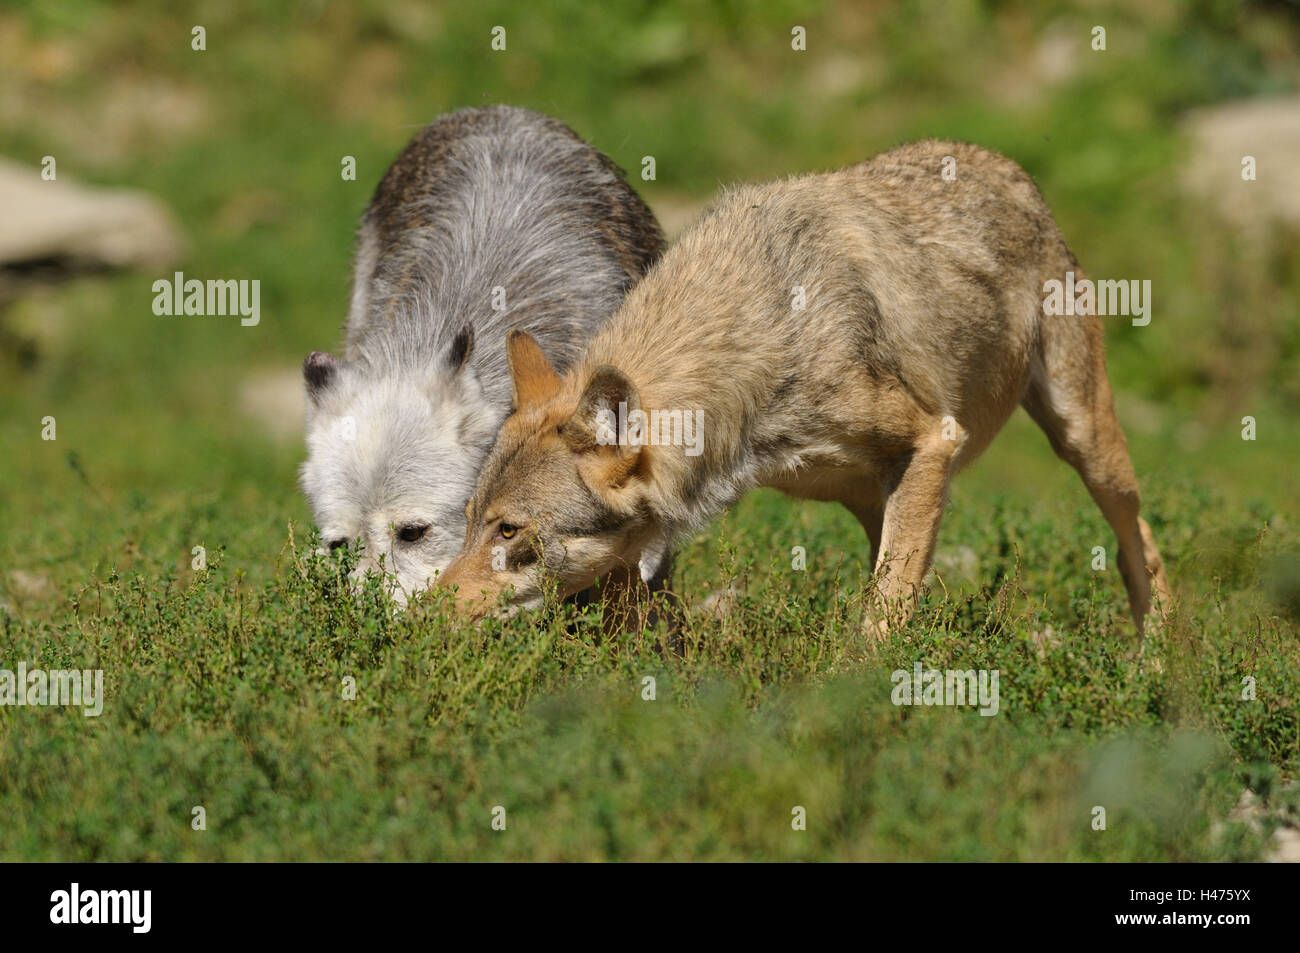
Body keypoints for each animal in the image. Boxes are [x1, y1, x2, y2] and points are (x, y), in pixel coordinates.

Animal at [438, 139, 1174, 637]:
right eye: (469, 521)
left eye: (509, 530)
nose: (424, 611)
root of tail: (1006, 166)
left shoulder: (934, 441)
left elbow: (882, 617)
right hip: (881, 498)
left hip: (1083, 441)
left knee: (1138, 539)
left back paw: (1156, 658)